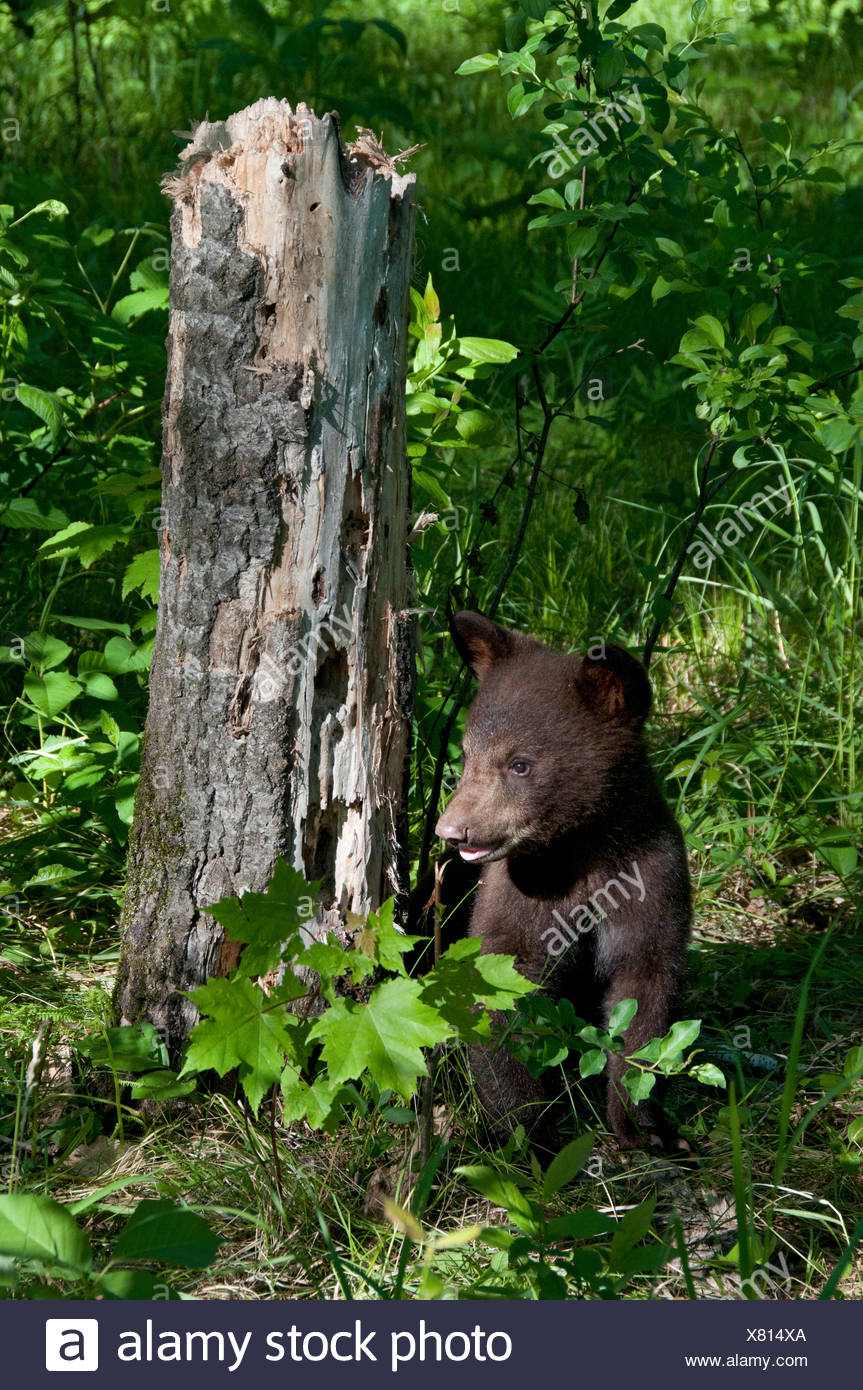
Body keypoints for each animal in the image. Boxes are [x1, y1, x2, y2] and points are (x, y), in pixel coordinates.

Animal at [434, 611, 692, 1153]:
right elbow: (499, 984)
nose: (451, 830)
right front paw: (530, 1128)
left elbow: (645, 989)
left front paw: (644, 1127)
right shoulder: (519, 895)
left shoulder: (651, 877)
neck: (581, 849)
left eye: (519, 764)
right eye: (467, 755)